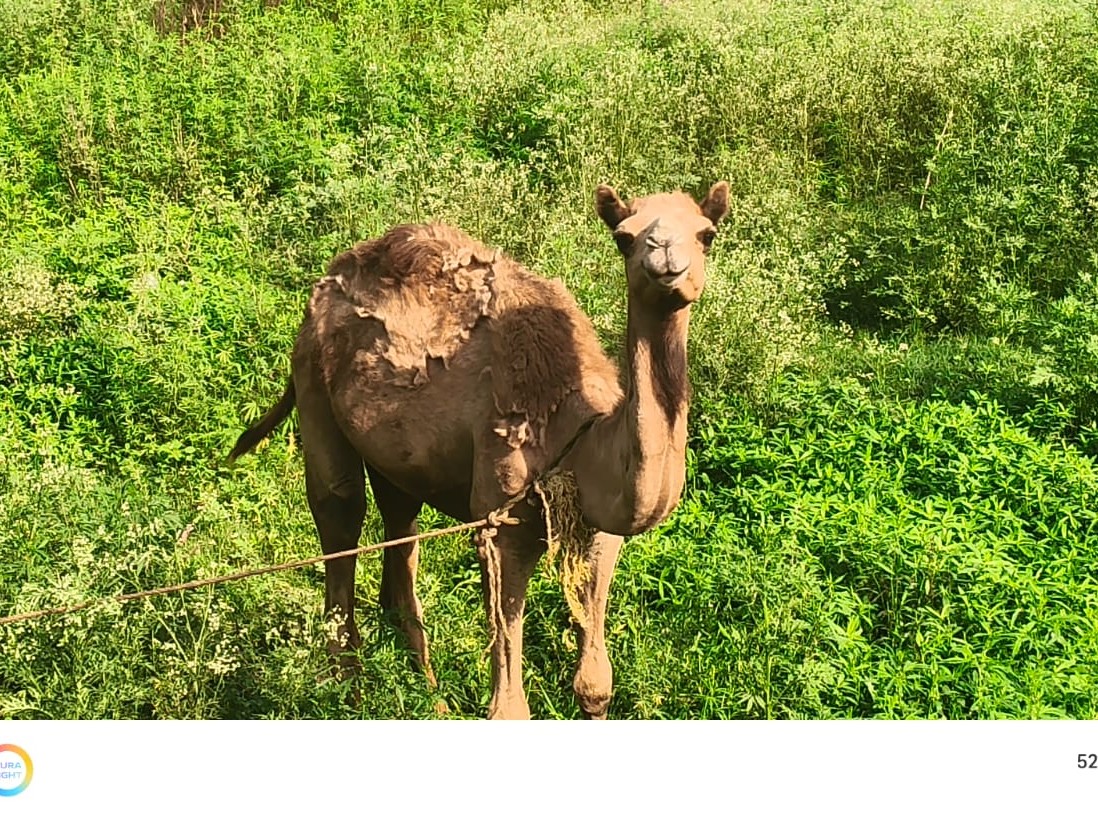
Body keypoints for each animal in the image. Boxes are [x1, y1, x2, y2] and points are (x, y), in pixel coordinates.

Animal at [229, 182, 729, 719]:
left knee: (399, 524)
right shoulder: (497, 518)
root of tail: (326, 283)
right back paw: (349, 689)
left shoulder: (599, 529)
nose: (665, 259)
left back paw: (430, 694)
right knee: (339, 509)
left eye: (707, 234)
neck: (577, 434)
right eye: (624, 237)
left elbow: (595, 685)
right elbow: (509, 704)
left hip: (397, 454)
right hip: (312, 383)